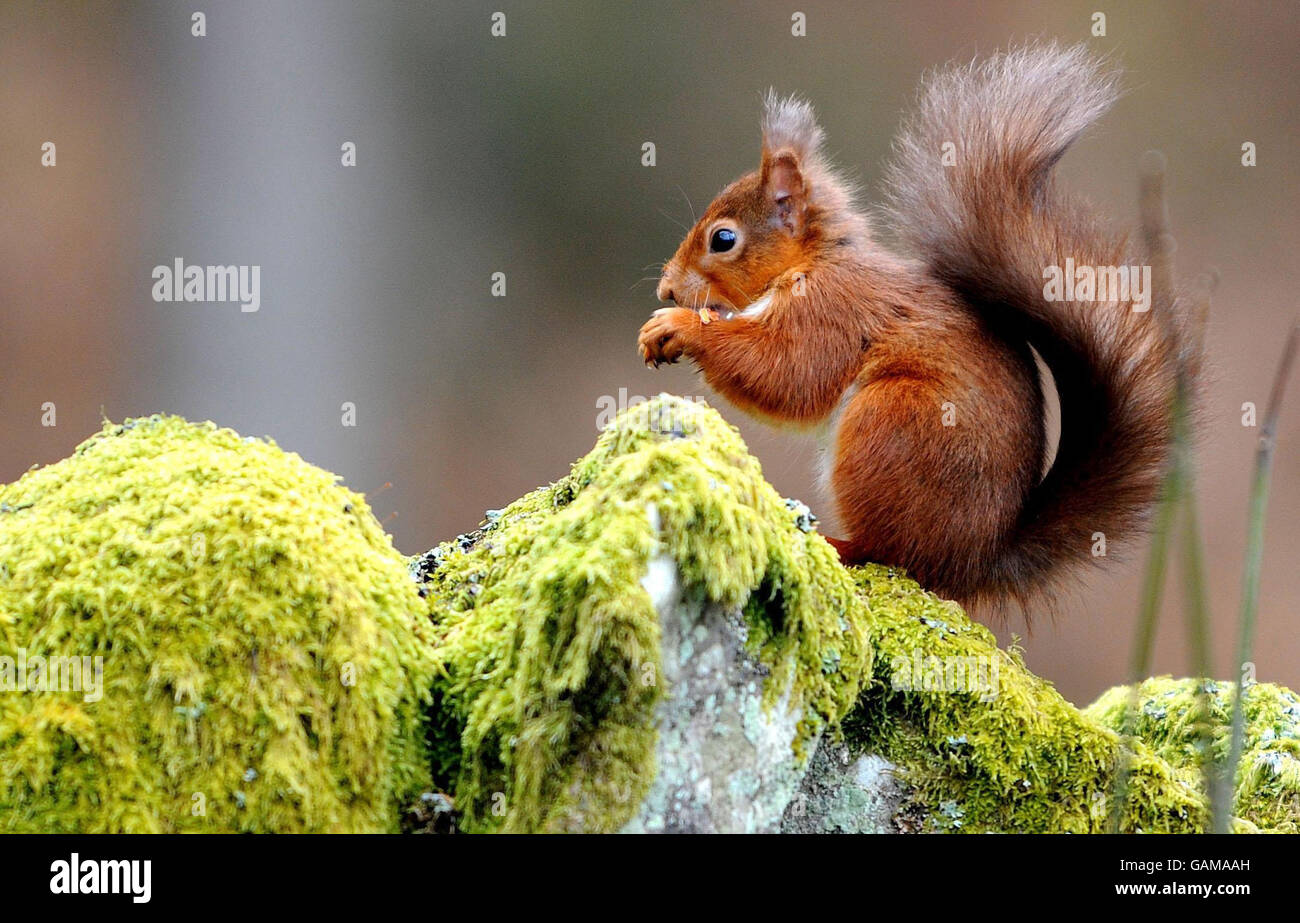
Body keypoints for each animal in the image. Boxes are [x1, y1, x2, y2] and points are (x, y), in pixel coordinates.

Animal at [636, 44, 1197, 609]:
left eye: (723, 239)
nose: (667, 290)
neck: (815, 261)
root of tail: (975, 562)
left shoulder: (834, 310)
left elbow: (789, 374)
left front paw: (679, 327)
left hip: (893, 421)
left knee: (891, 552)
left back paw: (838, 543)